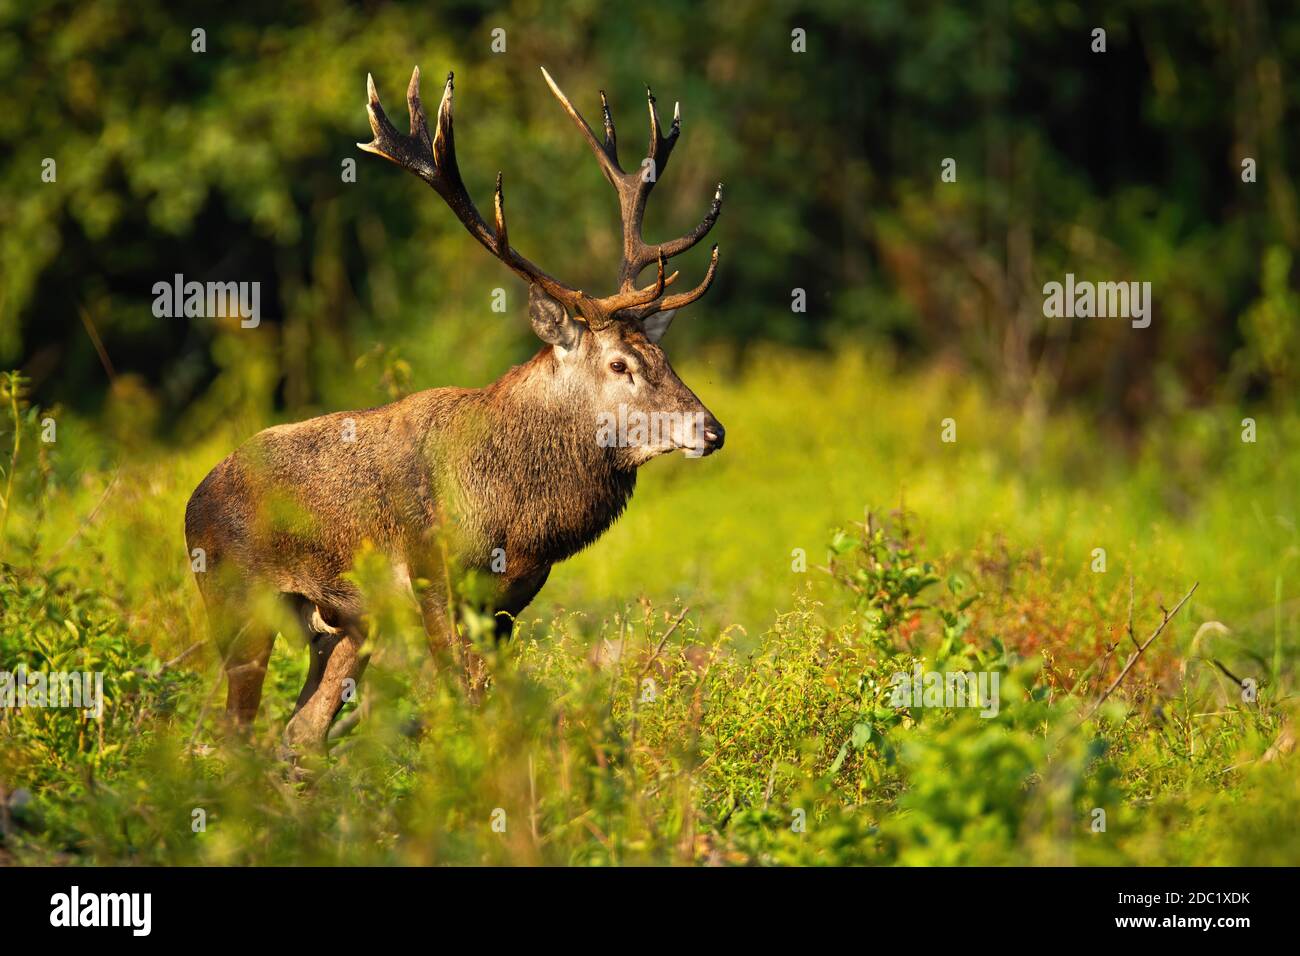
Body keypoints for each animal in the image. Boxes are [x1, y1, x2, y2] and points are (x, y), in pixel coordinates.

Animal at [183, 66, 725, 755]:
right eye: (619, 364)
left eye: (662, 352)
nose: (711, 429)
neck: (518, 520)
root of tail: (192, 502)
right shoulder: (432, 578)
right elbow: (462, 698)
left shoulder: (510, 599)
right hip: (236, 601)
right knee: (232, 734)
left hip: (342, 625)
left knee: (299, 731)